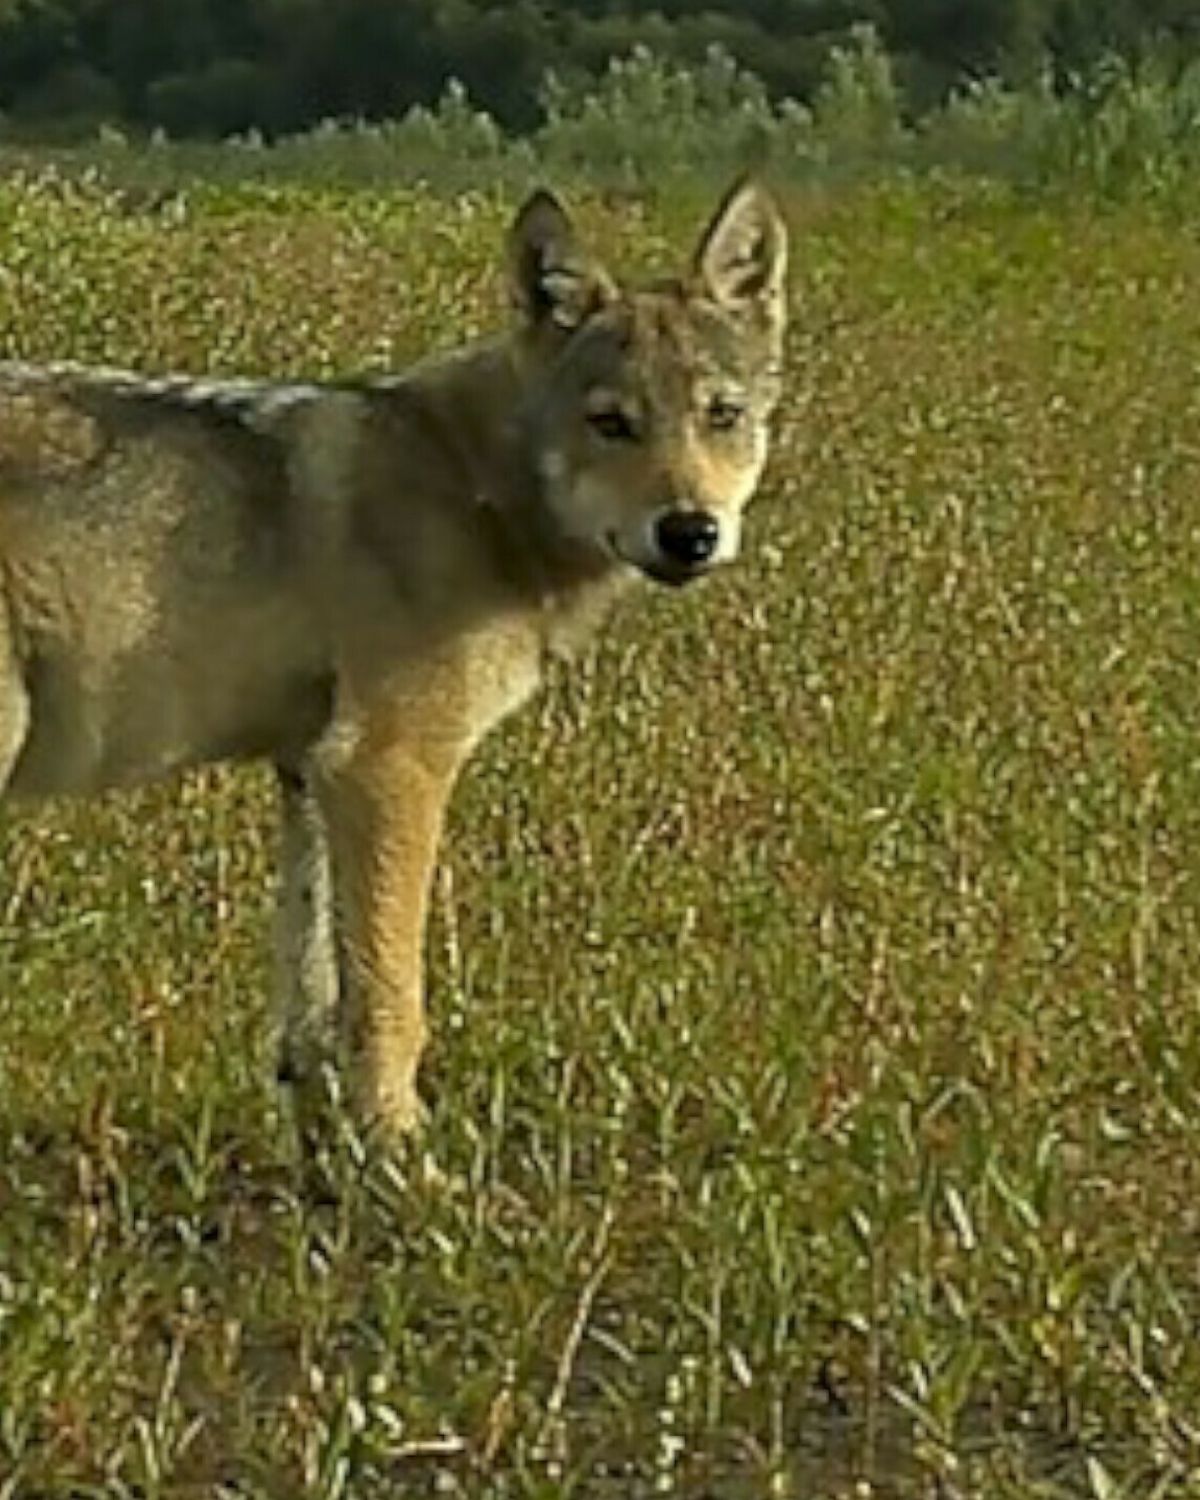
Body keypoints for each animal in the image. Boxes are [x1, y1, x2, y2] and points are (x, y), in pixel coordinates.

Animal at [0, 179, 788, 1143]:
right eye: (611, 424)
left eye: (722, 416)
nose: (690, 532)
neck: (478, 489)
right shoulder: (389, 765)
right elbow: (391, 999)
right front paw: (405, 1153)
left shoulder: (309, 769)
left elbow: (315, 998)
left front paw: (325, 1147)